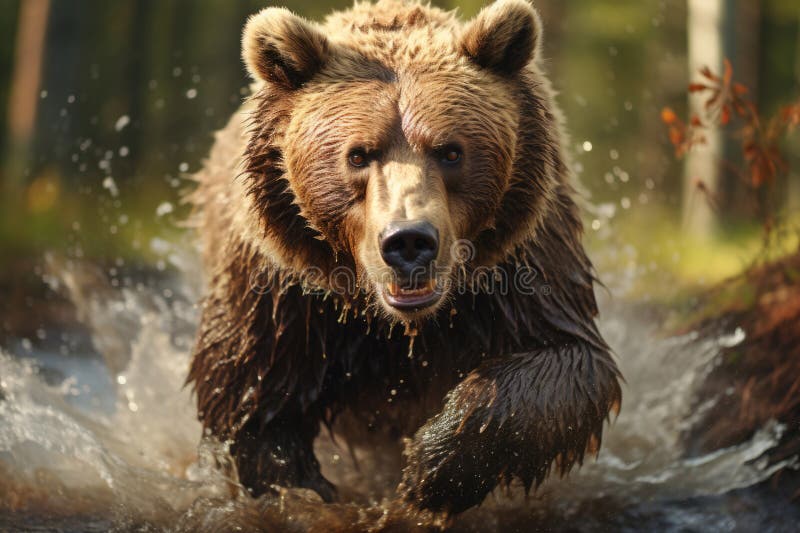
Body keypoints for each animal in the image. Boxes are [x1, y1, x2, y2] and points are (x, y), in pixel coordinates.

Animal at [187, 0, 622, 516]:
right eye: (358, 155)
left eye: (451, 151)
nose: (409, 242)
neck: (397, 328)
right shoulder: (281, 291)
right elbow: (252, 398)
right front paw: (305, 491)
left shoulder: (522, 264)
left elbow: (569, 365)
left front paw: (432, 463)